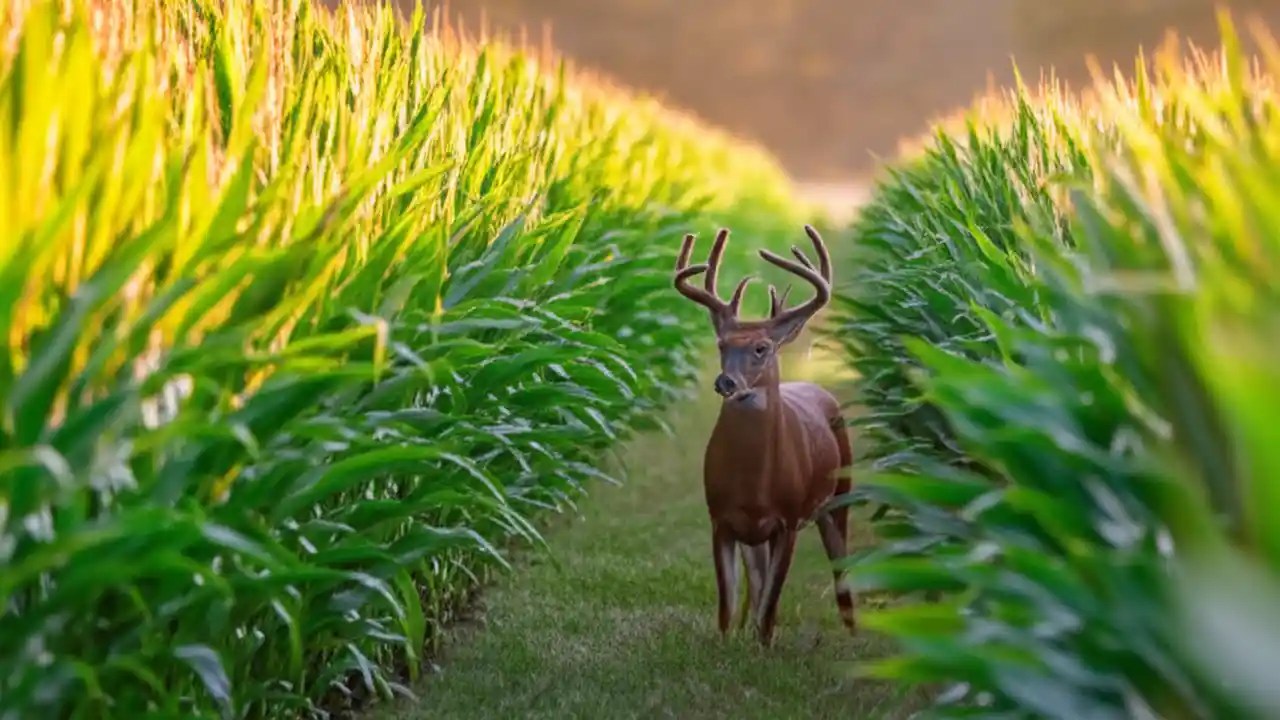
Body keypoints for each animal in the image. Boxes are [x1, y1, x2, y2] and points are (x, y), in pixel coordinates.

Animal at [672, 224, 856, 648]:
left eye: (762, 347)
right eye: (722, 344)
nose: (726, 382)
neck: (755, 483)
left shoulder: (787, 519)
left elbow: (771, 604)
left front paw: (763, 647)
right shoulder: (721, 518)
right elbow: (729, 602)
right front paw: (727, 645)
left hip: (841, 493)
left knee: (841, 566)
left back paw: (853, 630)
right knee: (753, 587)